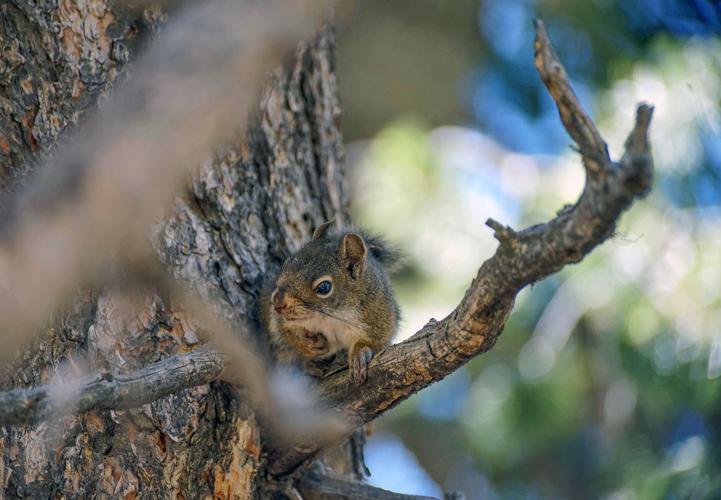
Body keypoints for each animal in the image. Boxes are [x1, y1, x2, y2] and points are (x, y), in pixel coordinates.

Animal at [259, 220, 400, 385]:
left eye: (324, 287)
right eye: (286, 264)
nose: (277, 304)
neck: (331, 316)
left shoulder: (378, 312)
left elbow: (377, 339)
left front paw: (359, 353)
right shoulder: (281, 320)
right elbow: (285, 331)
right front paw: (306, 344)